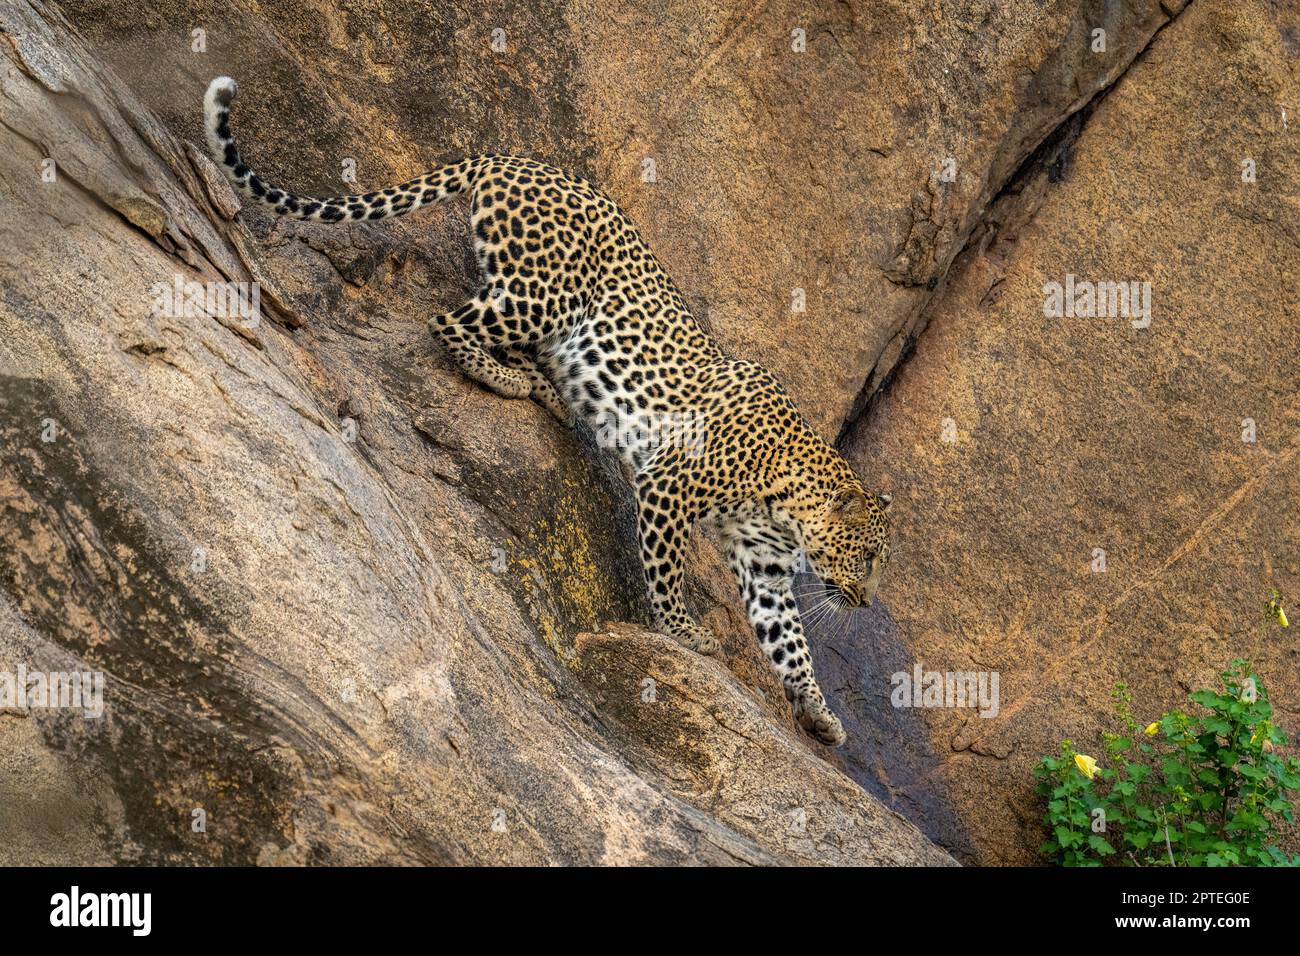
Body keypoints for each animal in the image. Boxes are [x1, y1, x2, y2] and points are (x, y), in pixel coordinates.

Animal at [203, 76, 892, 747]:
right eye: (865, 557)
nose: (863, 602)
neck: (787, 505)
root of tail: (511, 157)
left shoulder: (765, 569)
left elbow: (791, 643)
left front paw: (818, 711)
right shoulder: (669, 484)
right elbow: (665, 570)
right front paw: (683, 632)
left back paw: (546, 388)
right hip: (546, 294)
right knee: (447, 320)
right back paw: (509, 380)